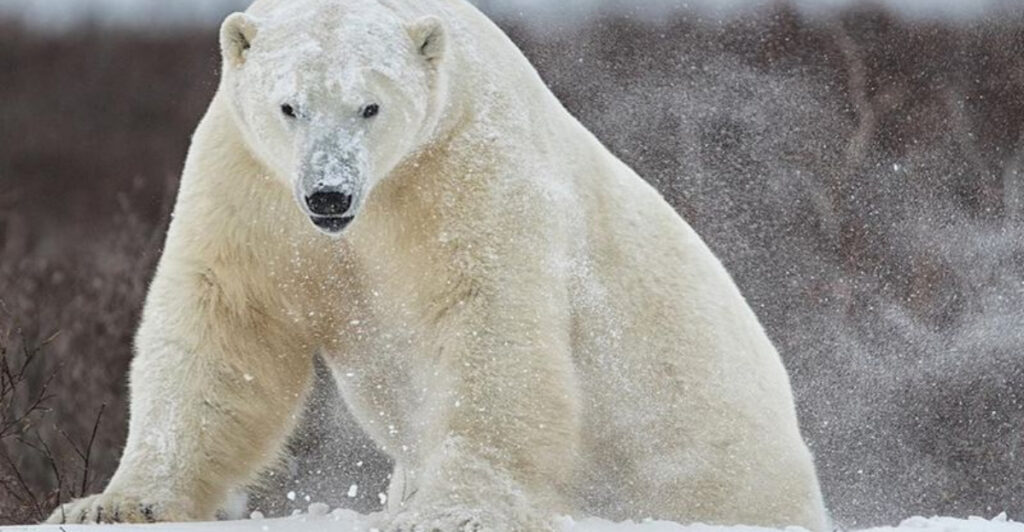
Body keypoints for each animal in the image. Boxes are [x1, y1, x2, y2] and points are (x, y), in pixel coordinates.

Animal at [47, 0, 829, 530]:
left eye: (370, 106)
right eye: (289, 105)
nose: (329, 194)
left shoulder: (464, 168)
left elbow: (487, 320)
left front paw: (453, 511)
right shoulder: (250, 182)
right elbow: (227, 320)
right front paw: (109, 504)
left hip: (713, 453)